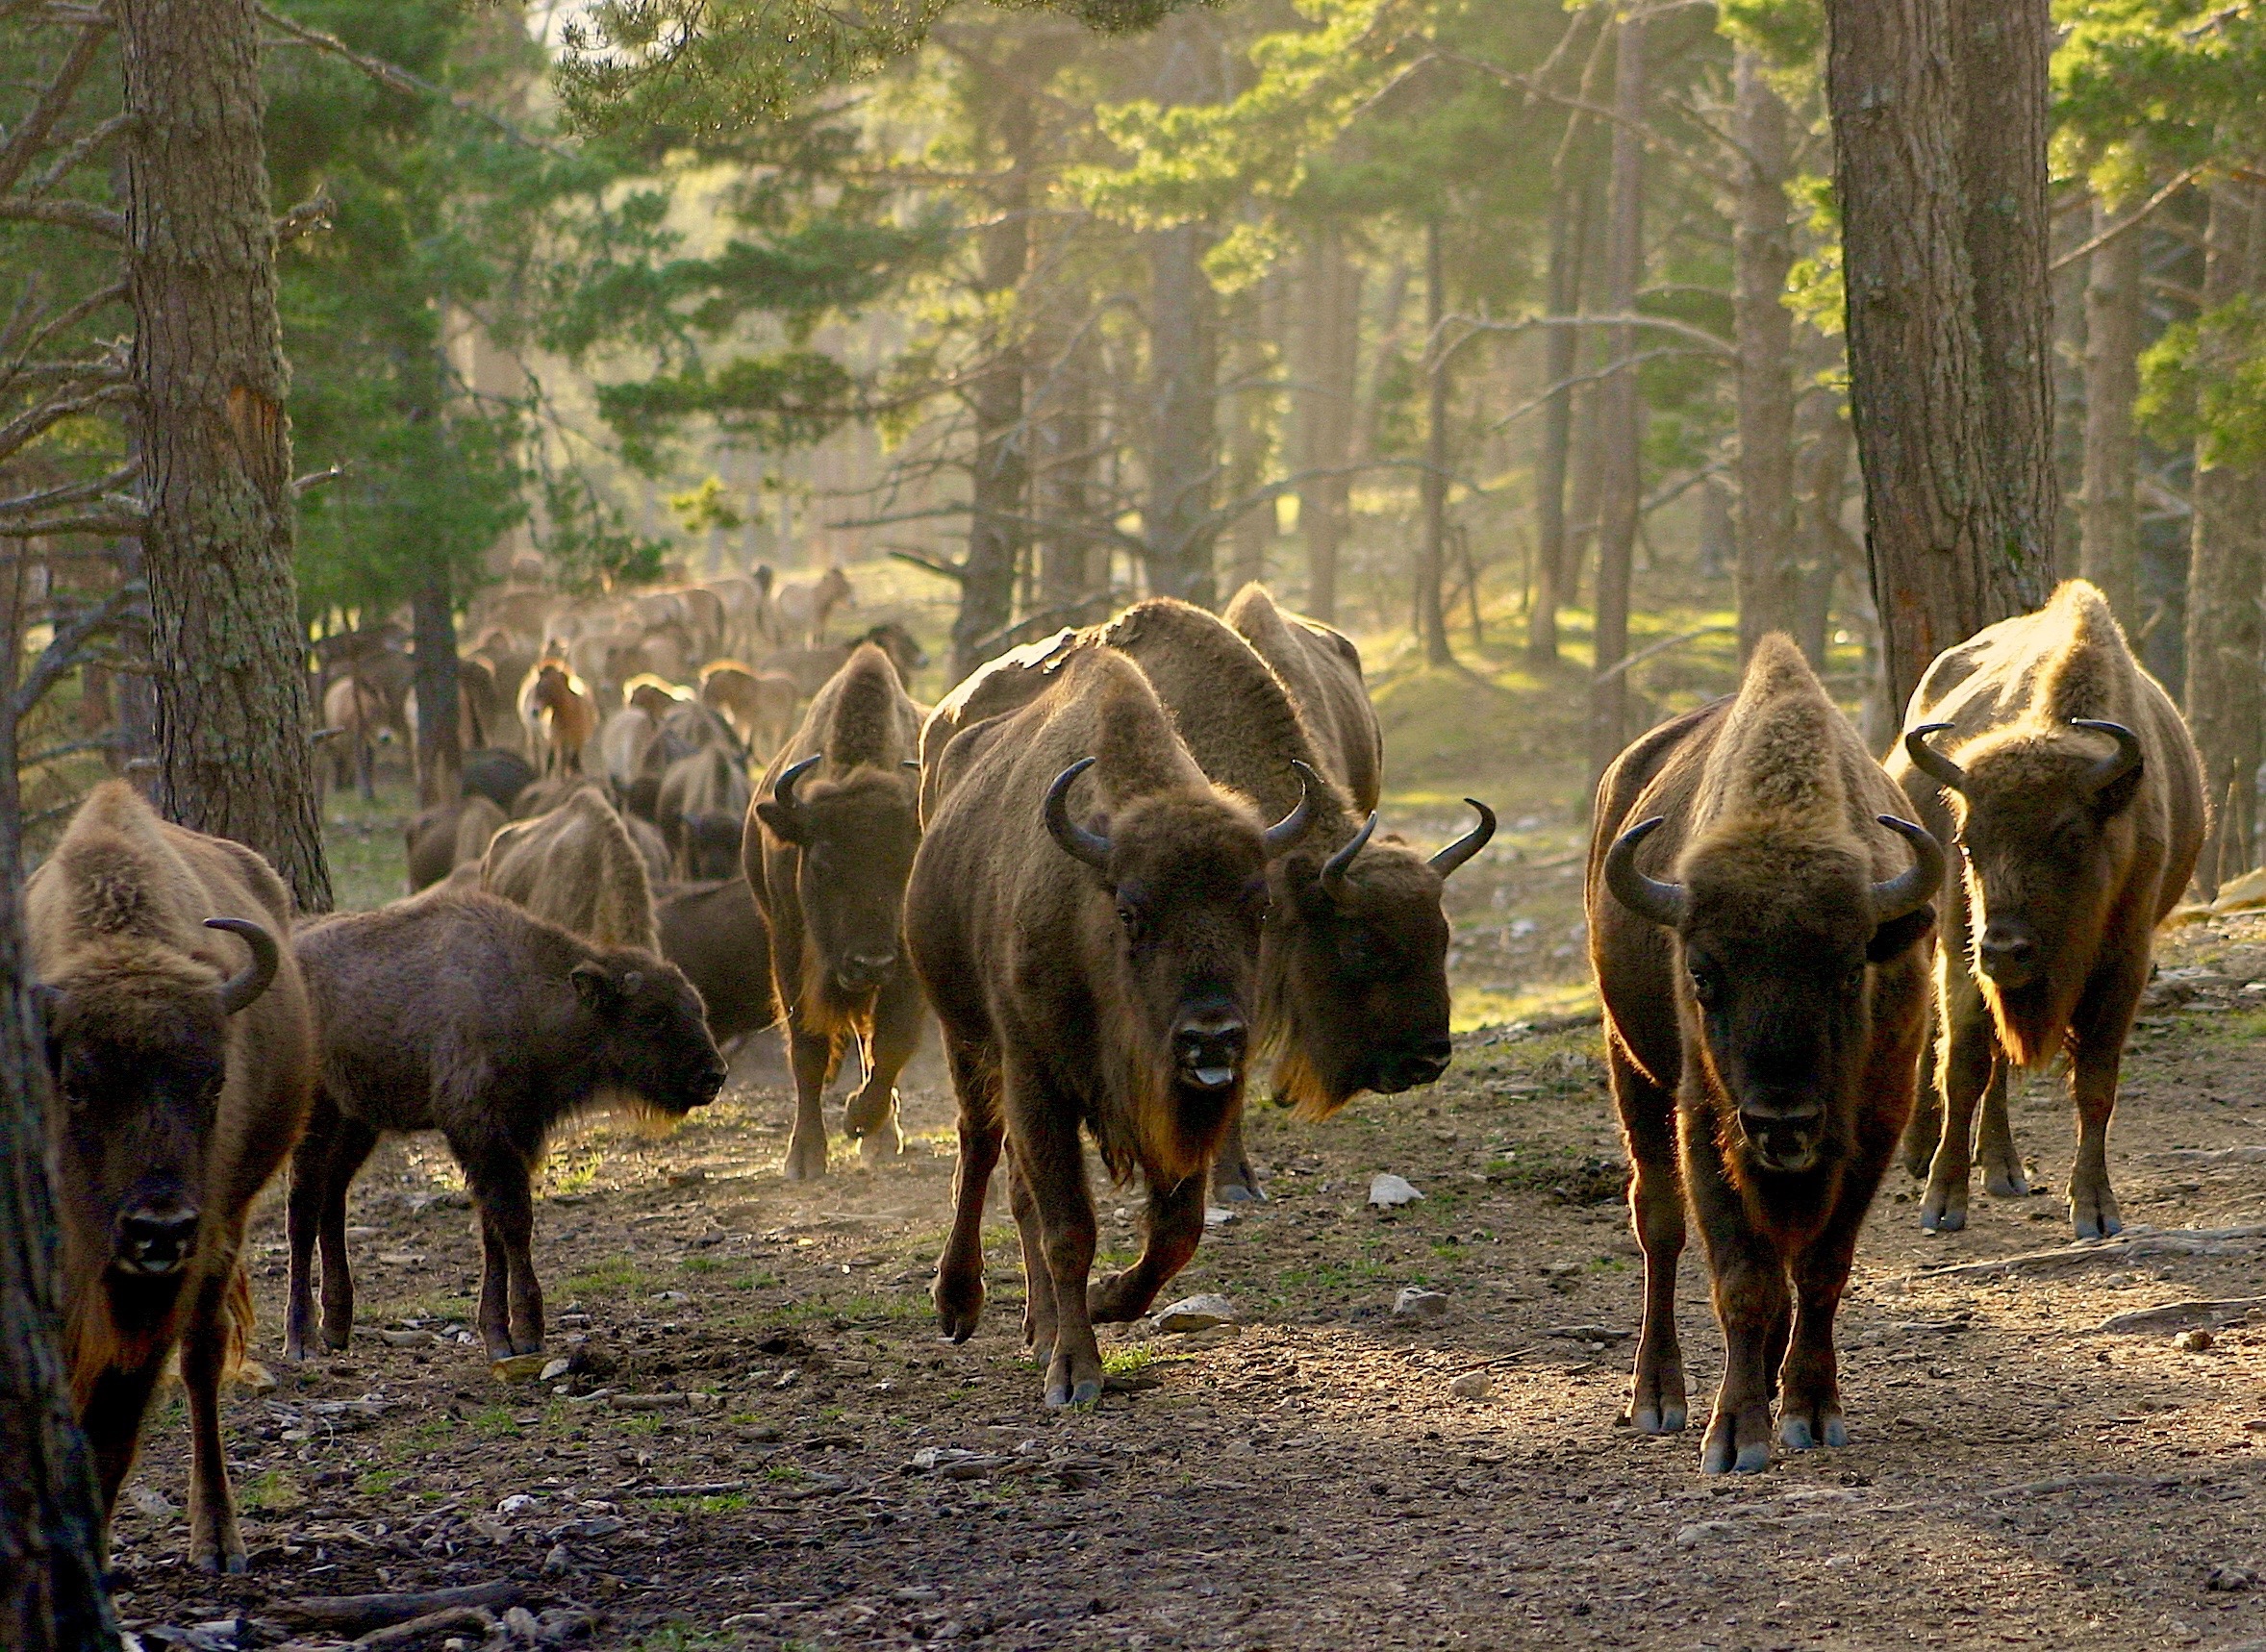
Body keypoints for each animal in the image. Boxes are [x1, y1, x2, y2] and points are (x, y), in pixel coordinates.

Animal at [1590, 637, 1941, 1473]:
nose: (1784, 1124)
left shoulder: (1874, 1124)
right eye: (1702, 974)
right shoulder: (1707, 1122)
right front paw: (1736, 1435)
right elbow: (1742, 1278)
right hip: (1633, 1074)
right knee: (1658, 1224)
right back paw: (1657, 1396)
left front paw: (1811, 1412)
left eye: (1850, 971)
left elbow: (1820, 1266)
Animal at [1888, 580, 2204, 1238]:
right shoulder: (1963, 949)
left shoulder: (2125, 964)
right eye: (1966, 842)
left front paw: (2096, 1210)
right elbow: (1964, 1064)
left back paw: (2003, 1169)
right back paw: (1930, 1153)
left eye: (2072, 839)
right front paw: (1942, 1201)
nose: (2005, 950)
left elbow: (2095, 1083)